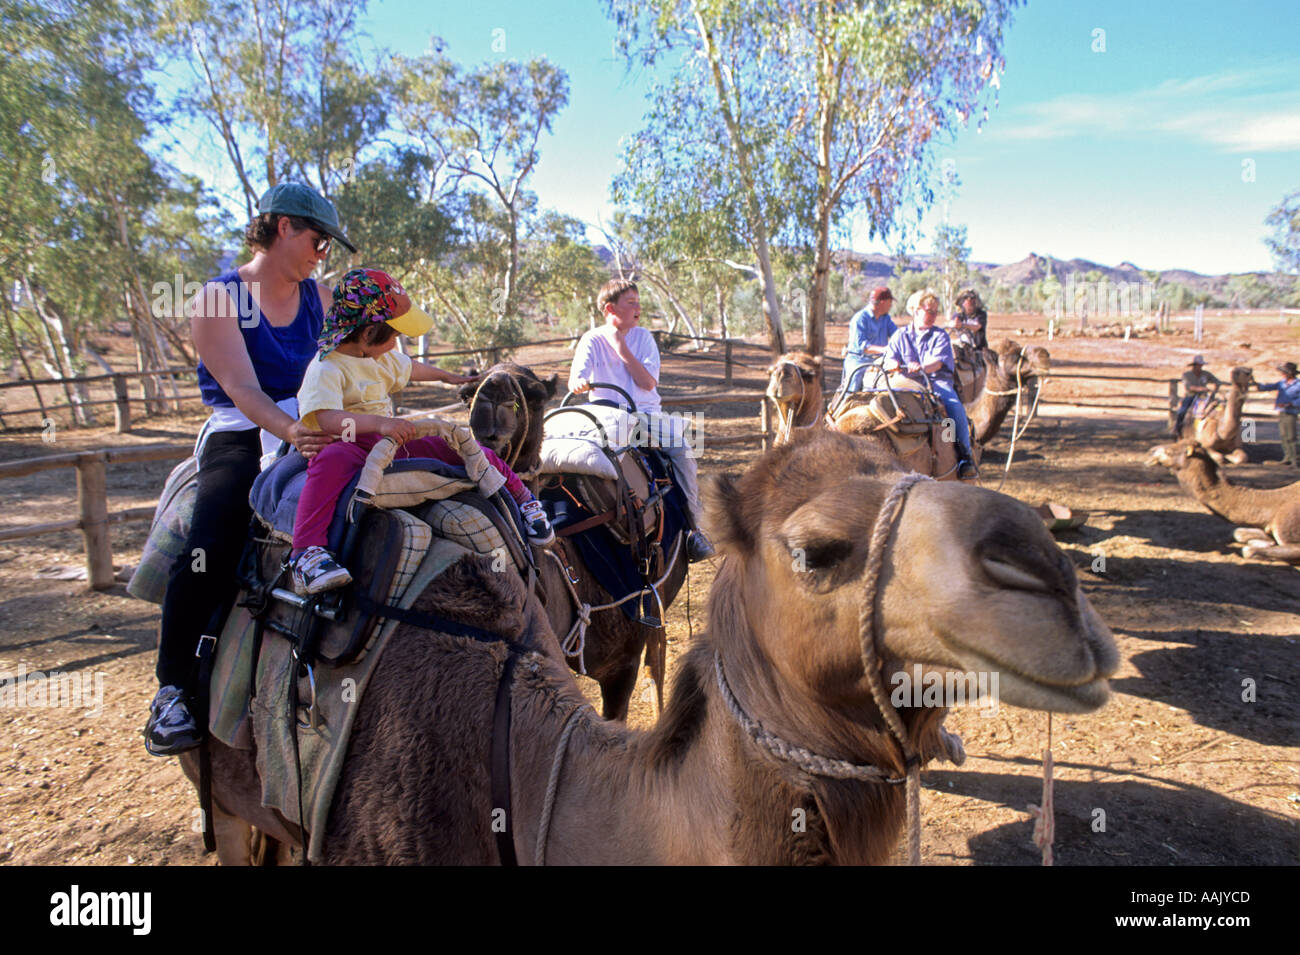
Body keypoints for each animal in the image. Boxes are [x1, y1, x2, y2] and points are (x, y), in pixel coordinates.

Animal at [1146, 441, 1300, 563]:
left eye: (1170, 451)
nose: (1150, 451)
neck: (1274, 505)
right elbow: (1238, 532)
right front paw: (1266, 542)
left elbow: (1248, 551)